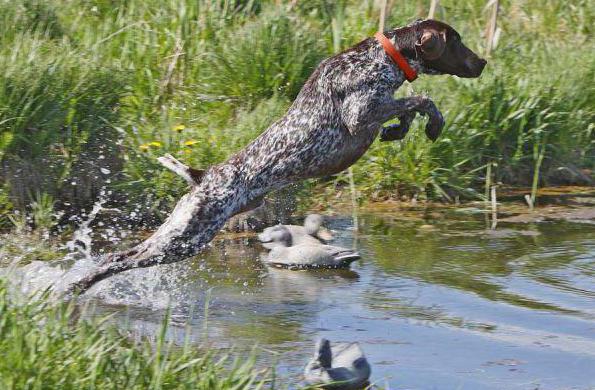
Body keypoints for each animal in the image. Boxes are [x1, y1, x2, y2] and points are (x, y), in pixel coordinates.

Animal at [66, 18, 484, 292]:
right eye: (457, 40)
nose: (483, 63)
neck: (383, 57)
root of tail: (201, 176)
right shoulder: (360, 114)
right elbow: (421, 98)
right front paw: (430, 123)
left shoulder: (375, 112)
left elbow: (410, 106)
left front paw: (401, 130)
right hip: (187, 237)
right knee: (119, 260)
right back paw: (75, 288)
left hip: (179, 230)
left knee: (121, 255)